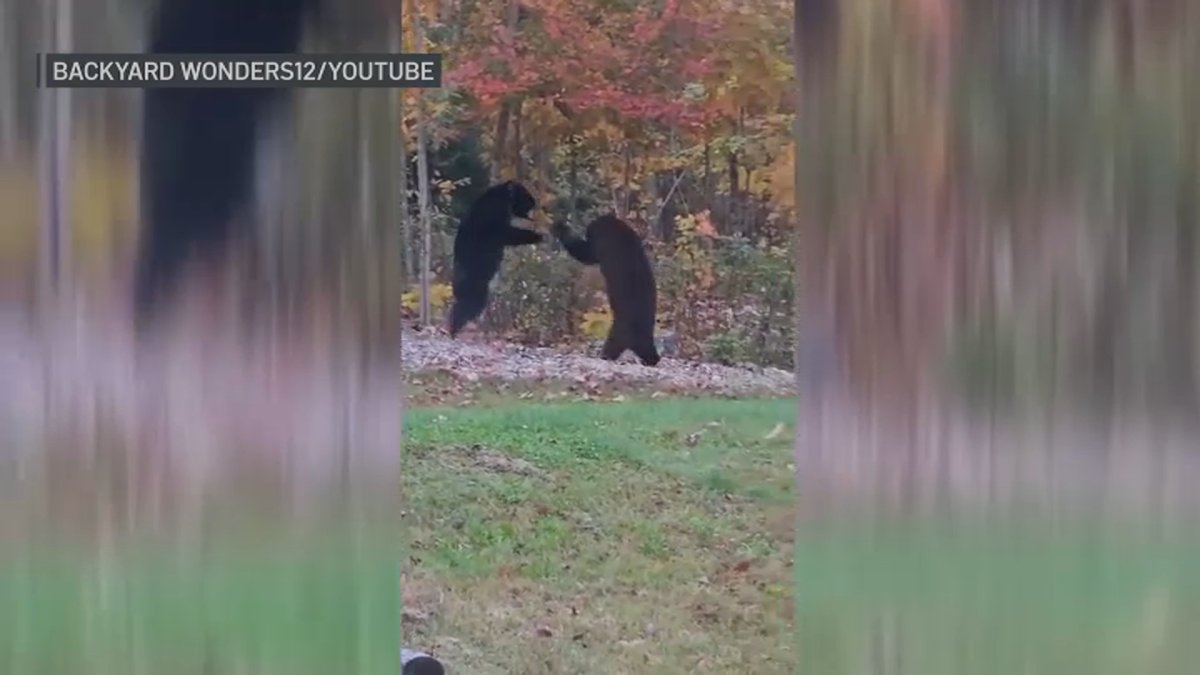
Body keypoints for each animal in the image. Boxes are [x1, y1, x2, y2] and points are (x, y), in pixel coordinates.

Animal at [447, 180, 543, 337]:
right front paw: (537, 235)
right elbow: (505, 233)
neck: (504, 198)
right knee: (470, 304)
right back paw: (456, 329)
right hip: (475, 283)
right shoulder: (495, 213)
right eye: (526, 196)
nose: (534, 203)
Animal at [552, 215, 661, 366]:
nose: (588, 229)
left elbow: (586, 254)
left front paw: (560, 227)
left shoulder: (602, 243)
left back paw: (604, 355)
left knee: (614, 344)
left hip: (620, 329)